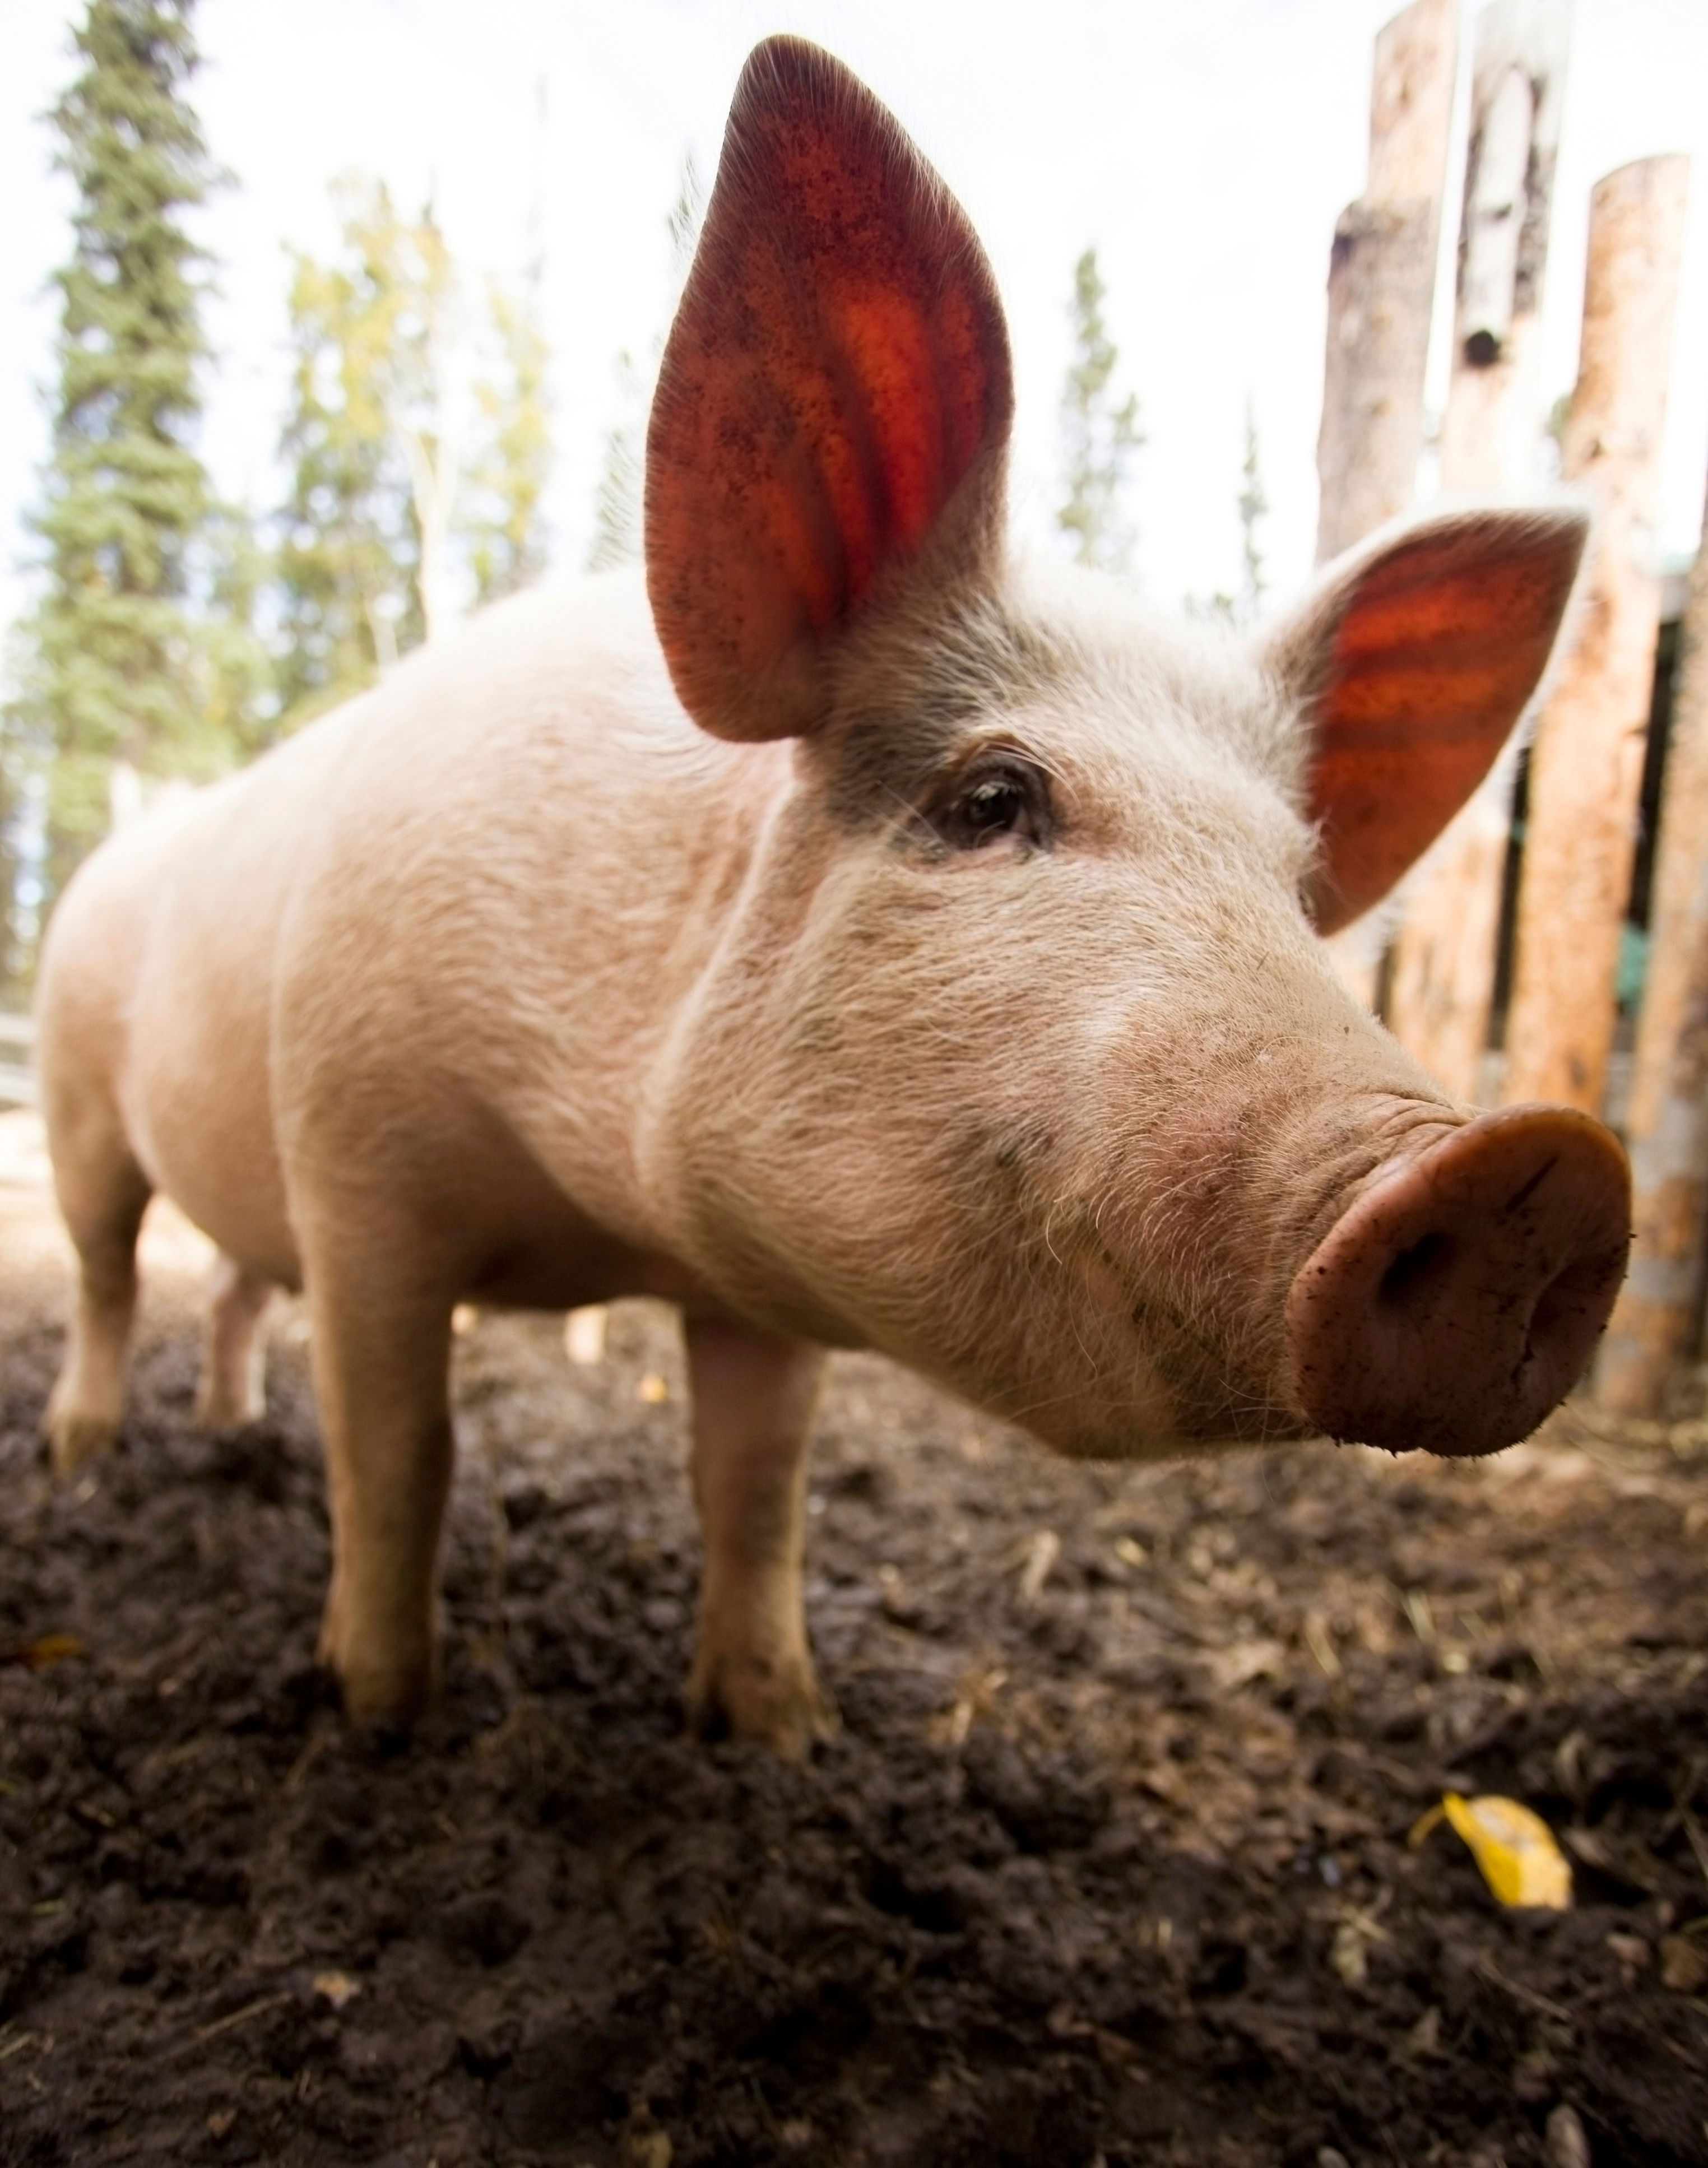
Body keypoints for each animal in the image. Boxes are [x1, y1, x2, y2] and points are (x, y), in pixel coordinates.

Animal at [34, 36, 1629, 1758]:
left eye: (1288, 880)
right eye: (990, 798)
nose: (1531, 1167)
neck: (605, 1213)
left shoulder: (759, 1277)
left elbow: (758, 1481)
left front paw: (783, 1730)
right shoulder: (355, 1149)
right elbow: (402, 1451)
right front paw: (381, 1715)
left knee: (226, 1291)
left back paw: (229, 1430)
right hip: (72, 1092)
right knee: (111, 1272)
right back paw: (82, 1453)